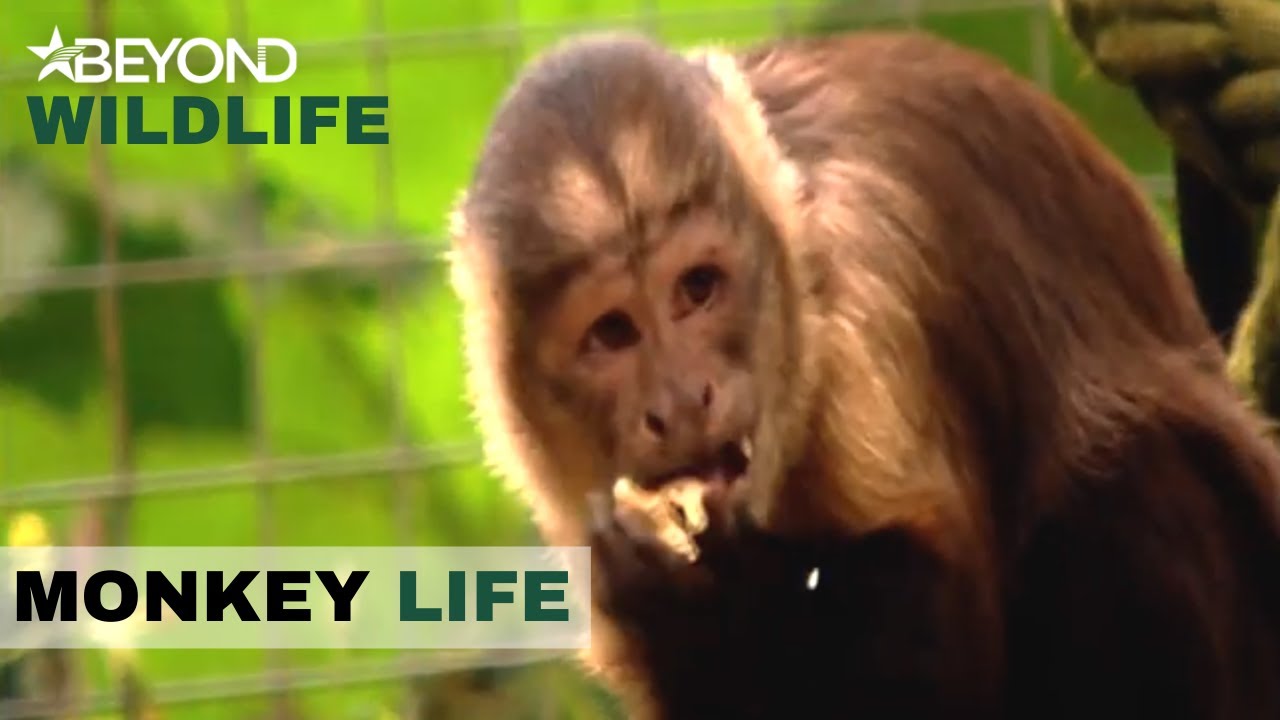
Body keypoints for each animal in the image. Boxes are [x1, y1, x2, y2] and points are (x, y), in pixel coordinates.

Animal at [447, 28, 1280, 720]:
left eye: (698, 289)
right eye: (612, 333)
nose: (682, 399)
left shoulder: (864, 281)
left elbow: (946, 657)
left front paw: (686, 597)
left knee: (1128, 467)